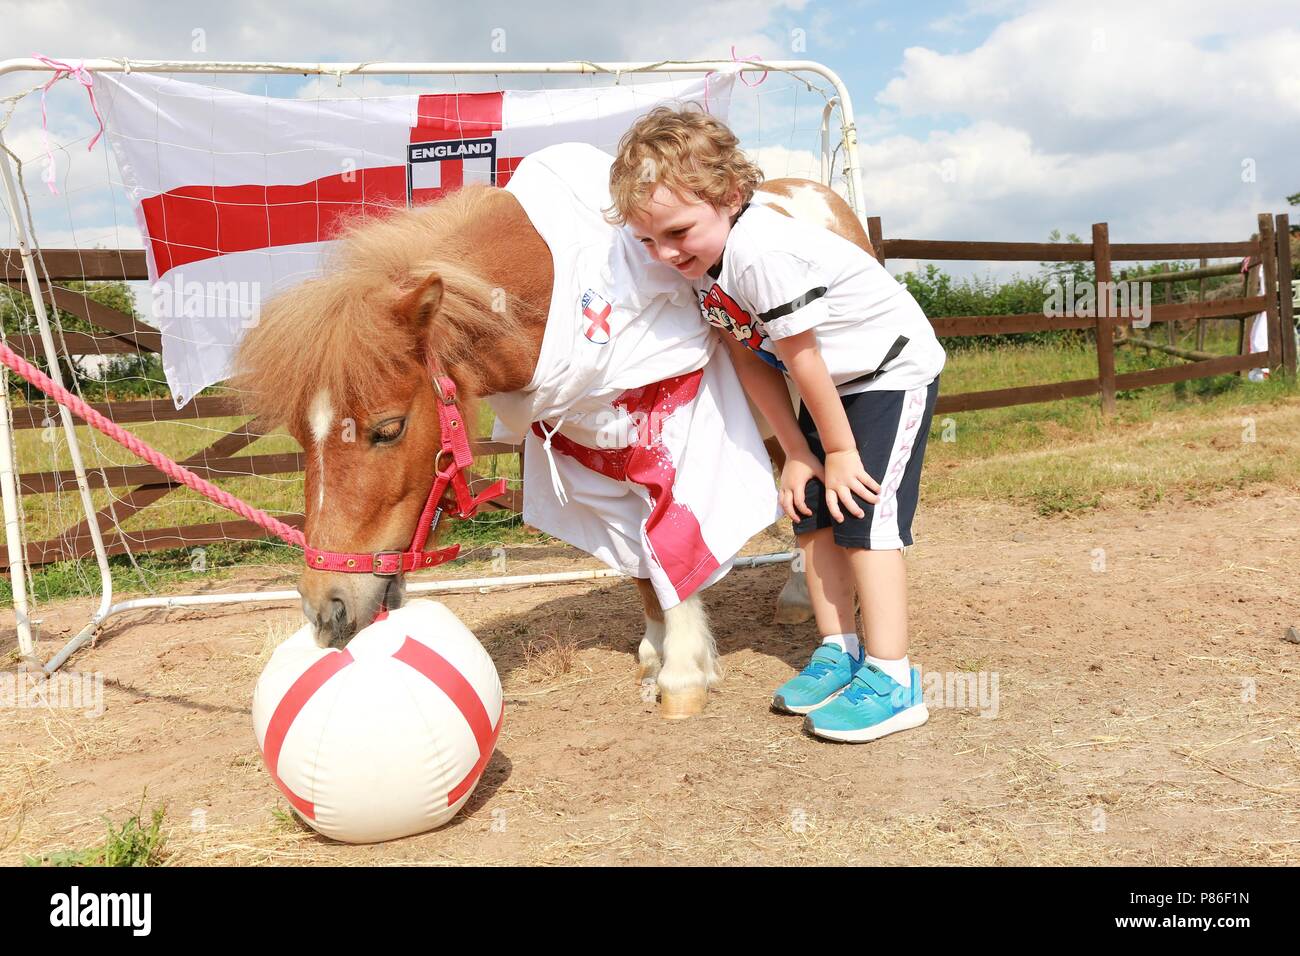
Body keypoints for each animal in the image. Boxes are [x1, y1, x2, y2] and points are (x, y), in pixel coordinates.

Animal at [231, 175, 875, 718]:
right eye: (302, 437)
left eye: (387, 428)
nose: (325, 607)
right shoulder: (593, 463)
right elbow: (638, 561)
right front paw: (653, 654)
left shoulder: (678, 438)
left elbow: (671, 545)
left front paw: (683, 673)